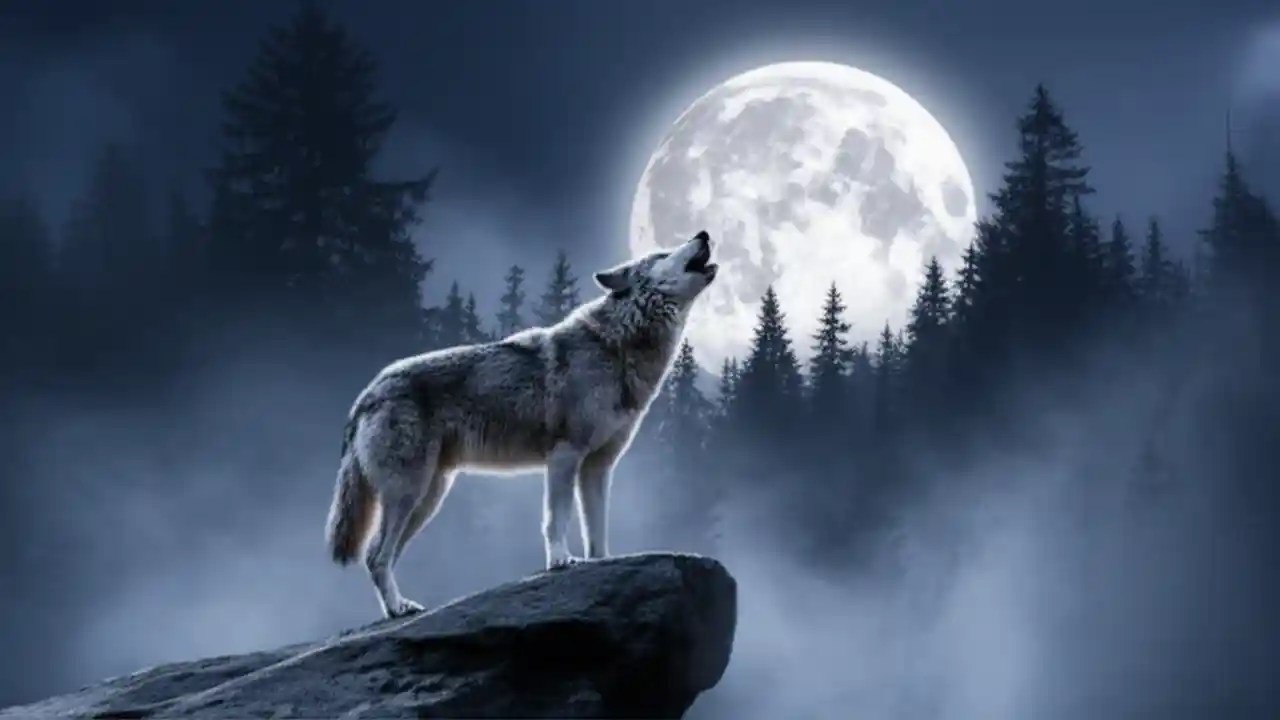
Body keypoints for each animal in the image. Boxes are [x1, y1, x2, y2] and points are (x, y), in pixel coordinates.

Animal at [324, 230, 718, 618]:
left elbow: (597, 531)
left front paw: (602, 565)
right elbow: (556, 519)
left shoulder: (598, 465)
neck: (619, 342)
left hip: (427, 497)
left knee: (384, 556)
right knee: (375, 555)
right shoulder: (564, 455)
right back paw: (397, 608)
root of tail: (366, 394)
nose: (704, 233)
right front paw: (560, 561)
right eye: (664, 252)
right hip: (409, 493)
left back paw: (399, 607)